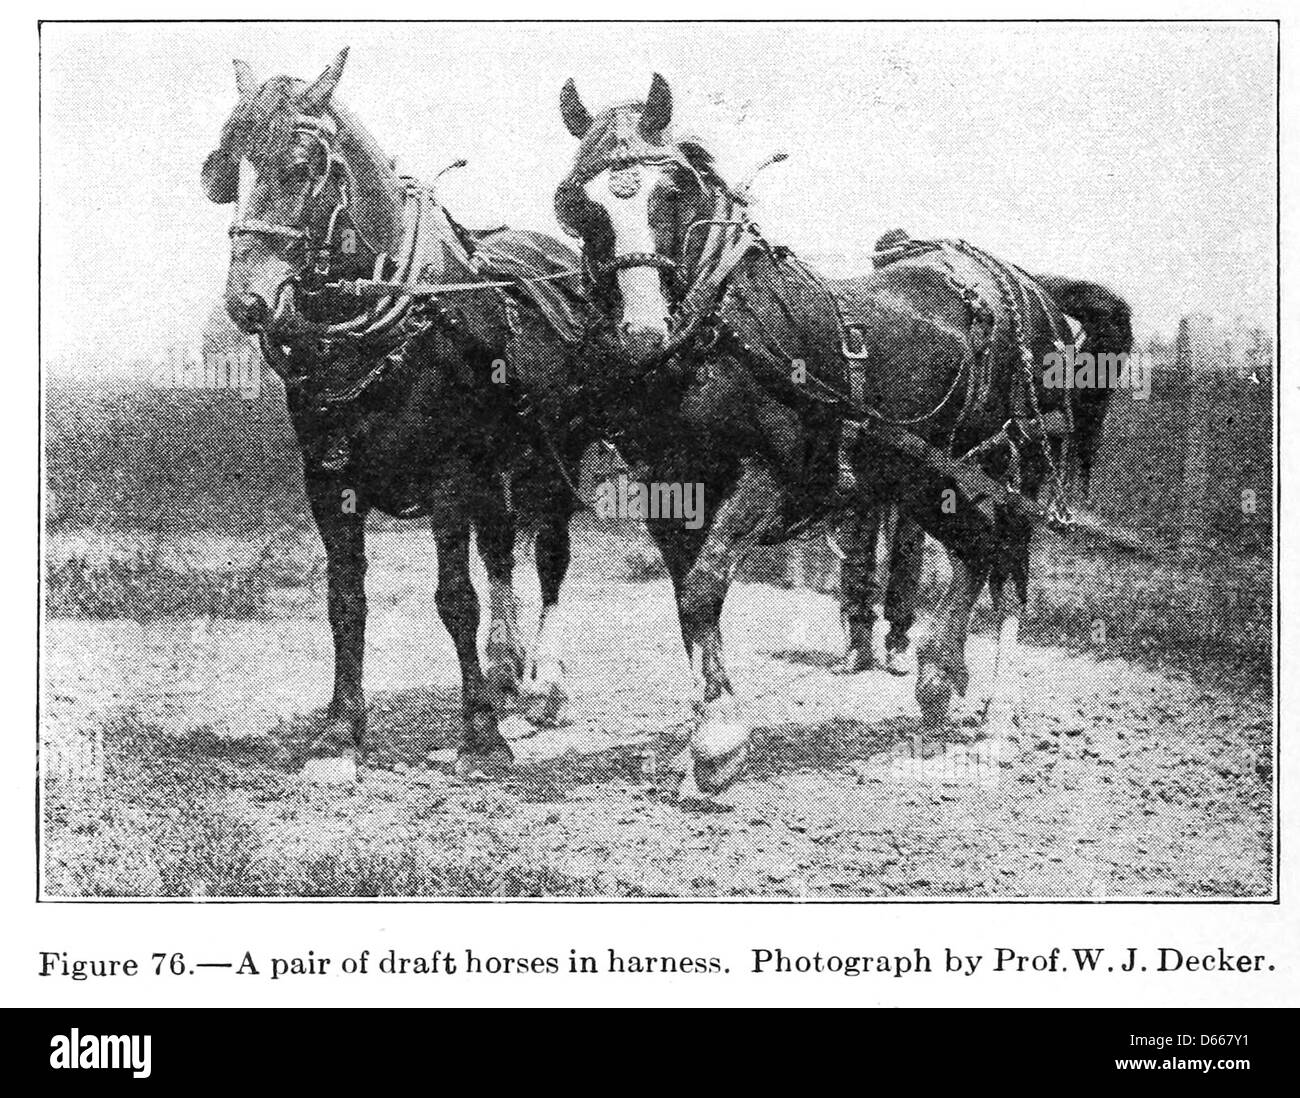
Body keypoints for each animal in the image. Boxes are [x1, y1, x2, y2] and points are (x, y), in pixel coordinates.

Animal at [202, 49, 597, 776]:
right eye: (225, 169)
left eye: (304, 165)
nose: (247, 301)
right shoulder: (329, 483)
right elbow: (345, 601)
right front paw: (339, 732)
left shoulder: (450, 477)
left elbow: (456, 599)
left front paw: (480, 732)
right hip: (494, 469)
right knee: (500, 550)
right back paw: (506, 669)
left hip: (554, 460)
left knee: (550, 556)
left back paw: (546, 685)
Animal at [554, 74, 1132, 795]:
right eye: (581, 206)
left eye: (673, 192)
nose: (639, 335)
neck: (717, 332)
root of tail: (1035, 288)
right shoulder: (669, 491)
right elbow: (689, 602)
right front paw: (704, 733)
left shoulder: (769, 476)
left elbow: (705, 586)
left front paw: (717, 744)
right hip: (930, 479)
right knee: (973, 553)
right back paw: (938, 679)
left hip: (1012, 469)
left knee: (1009, 568)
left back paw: (996, 719)